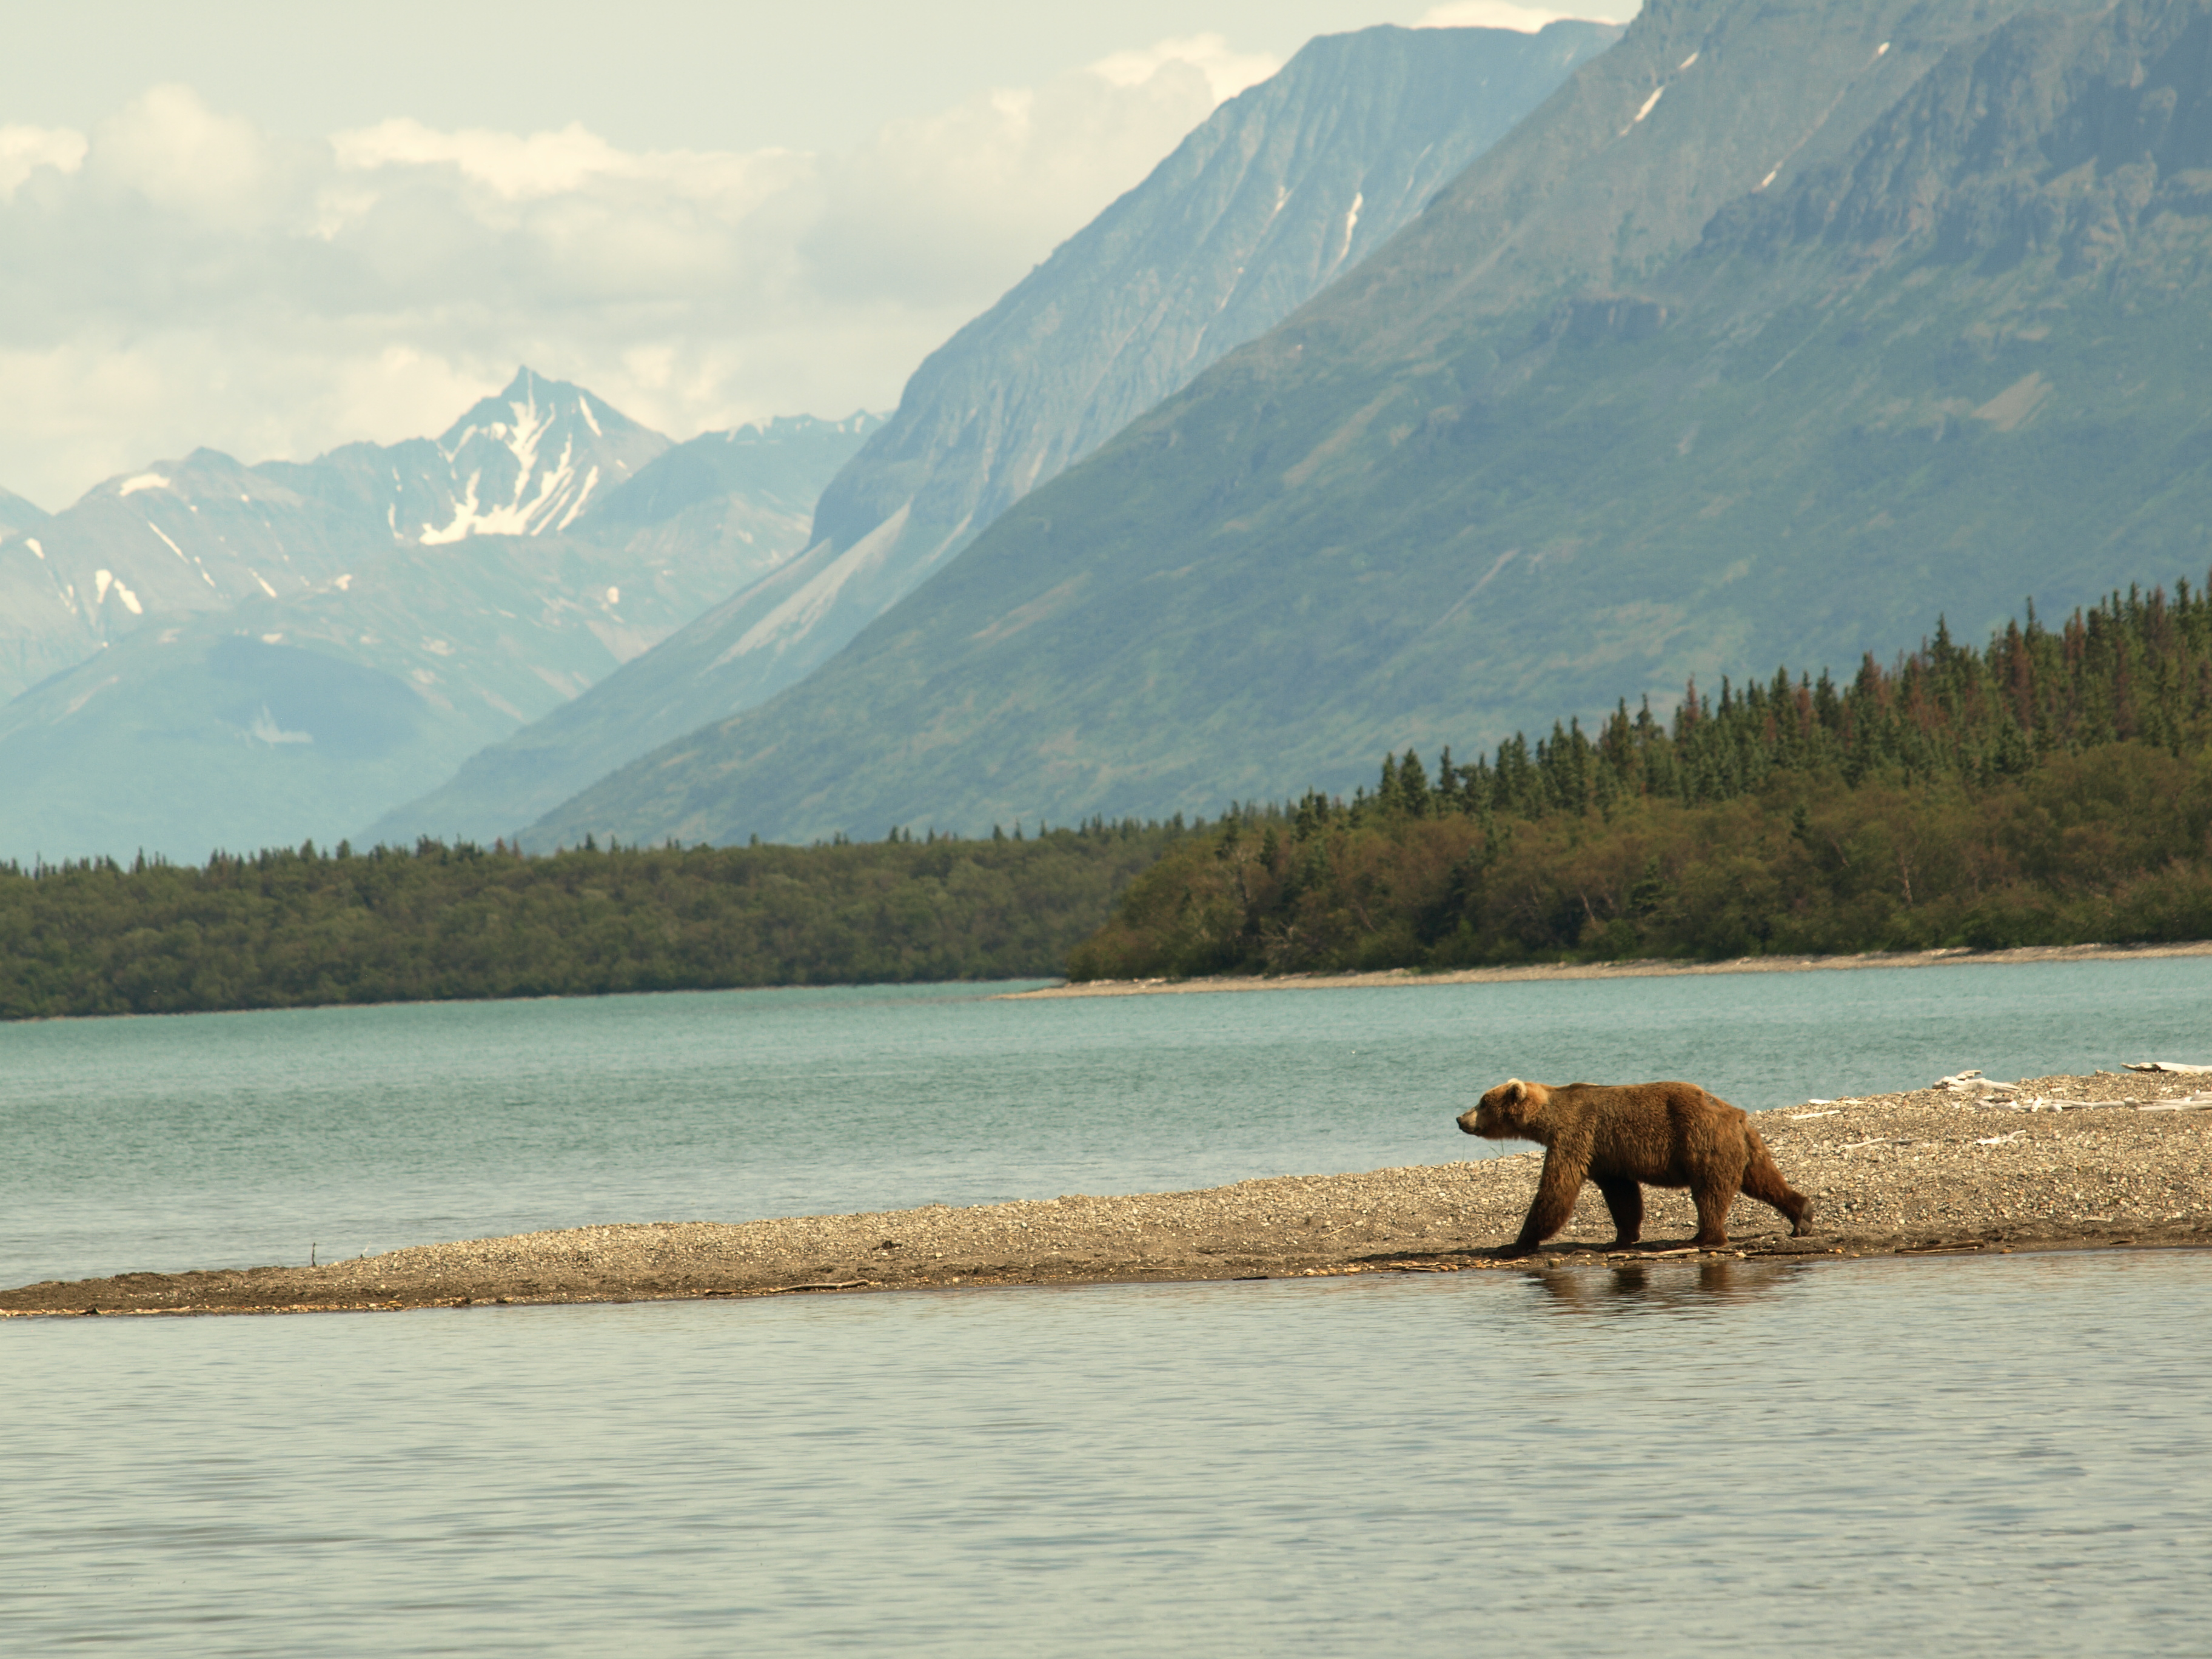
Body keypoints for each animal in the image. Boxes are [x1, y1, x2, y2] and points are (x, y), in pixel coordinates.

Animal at [1458, 1078, 1814, 1254]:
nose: (1461, 1118)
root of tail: (1734, 1113)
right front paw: (1620, 1238)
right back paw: (1803, 1214)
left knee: (1710, 1192)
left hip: (1702, 1141)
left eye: (1482, 1102)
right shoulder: (1605, 1153)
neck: (1547, 1119)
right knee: (1763, 1178)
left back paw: (1702, 1238)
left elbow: (1556, 1190)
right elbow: (1622, 1194)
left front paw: (1517, 1242)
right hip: (1743, 1143)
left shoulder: (1575, 1137)